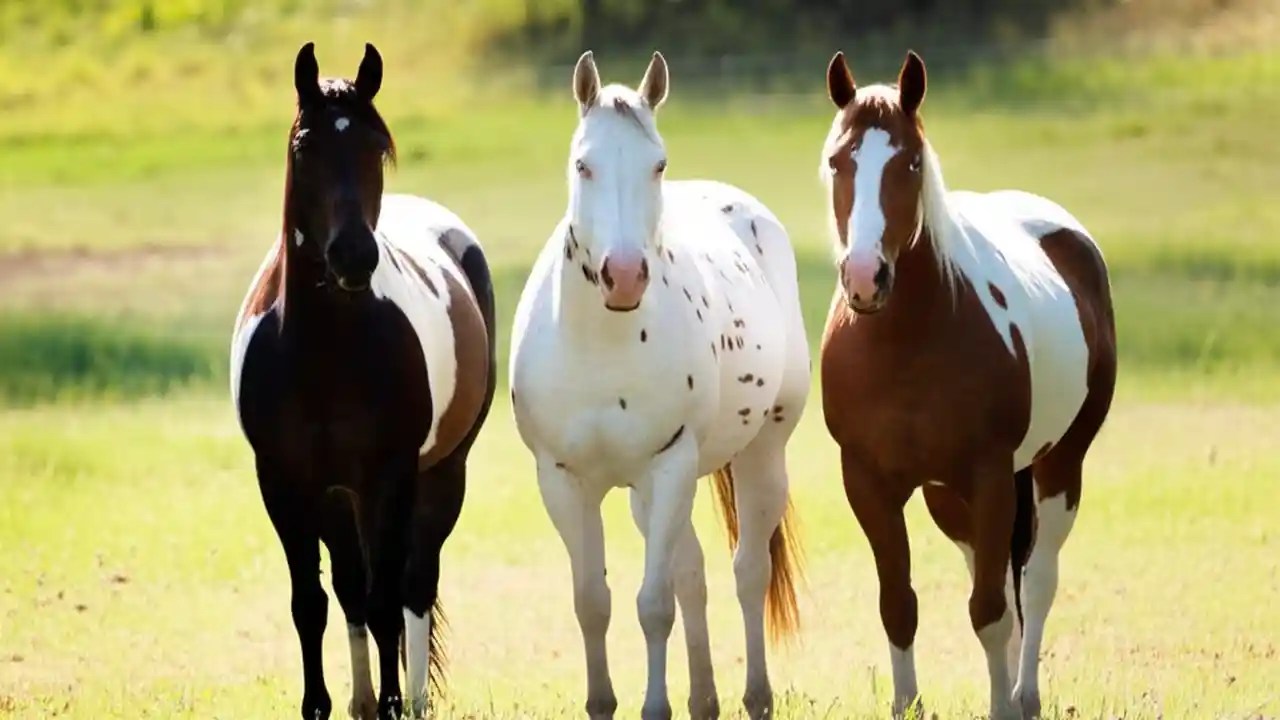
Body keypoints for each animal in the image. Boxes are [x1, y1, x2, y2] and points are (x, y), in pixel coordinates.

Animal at [229, 42, 496, 720]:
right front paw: (322, 705)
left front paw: (397, 705)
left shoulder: (389, 477)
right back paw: (361, 700)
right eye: (305, 146)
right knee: (352, 586)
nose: (353, 255)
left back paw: (416, 701)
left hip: (441, 475)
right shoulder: (286, 484)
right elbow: (313, 602)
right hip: (338, 497)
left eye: (377, 147)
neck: (324, 353)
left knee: (413, 584)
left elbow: (385, 604)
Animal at [509, 51, 810, 720]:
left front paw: (654, 706)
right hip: (650, 495)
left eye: (658, 164)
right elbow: (592, 602)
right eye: (583, 163)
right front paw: (603, 701)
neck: (603, 346)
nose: (623, 276)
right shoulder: (563, 481)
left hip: (760, 456)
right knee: (691, 572)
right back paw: (704, 698)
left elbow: (653, 604)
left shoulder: (669, 466)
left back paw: (755, 695)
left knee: (747, 572)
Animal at [817, 50, 1116, 719]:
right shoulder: (867, 483)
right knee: (1000, 575)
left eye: (909, 162)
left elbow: (992, 612)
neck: (904, 343)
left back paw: (1024, 694)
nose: (865, 278)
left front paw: (1003, 705)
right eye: (838, 161)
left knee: (1036, 579)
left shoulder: (989, 474)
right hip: (947, 496)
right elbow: (899, 605)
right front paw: (907, 703)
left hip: (1060, 466)